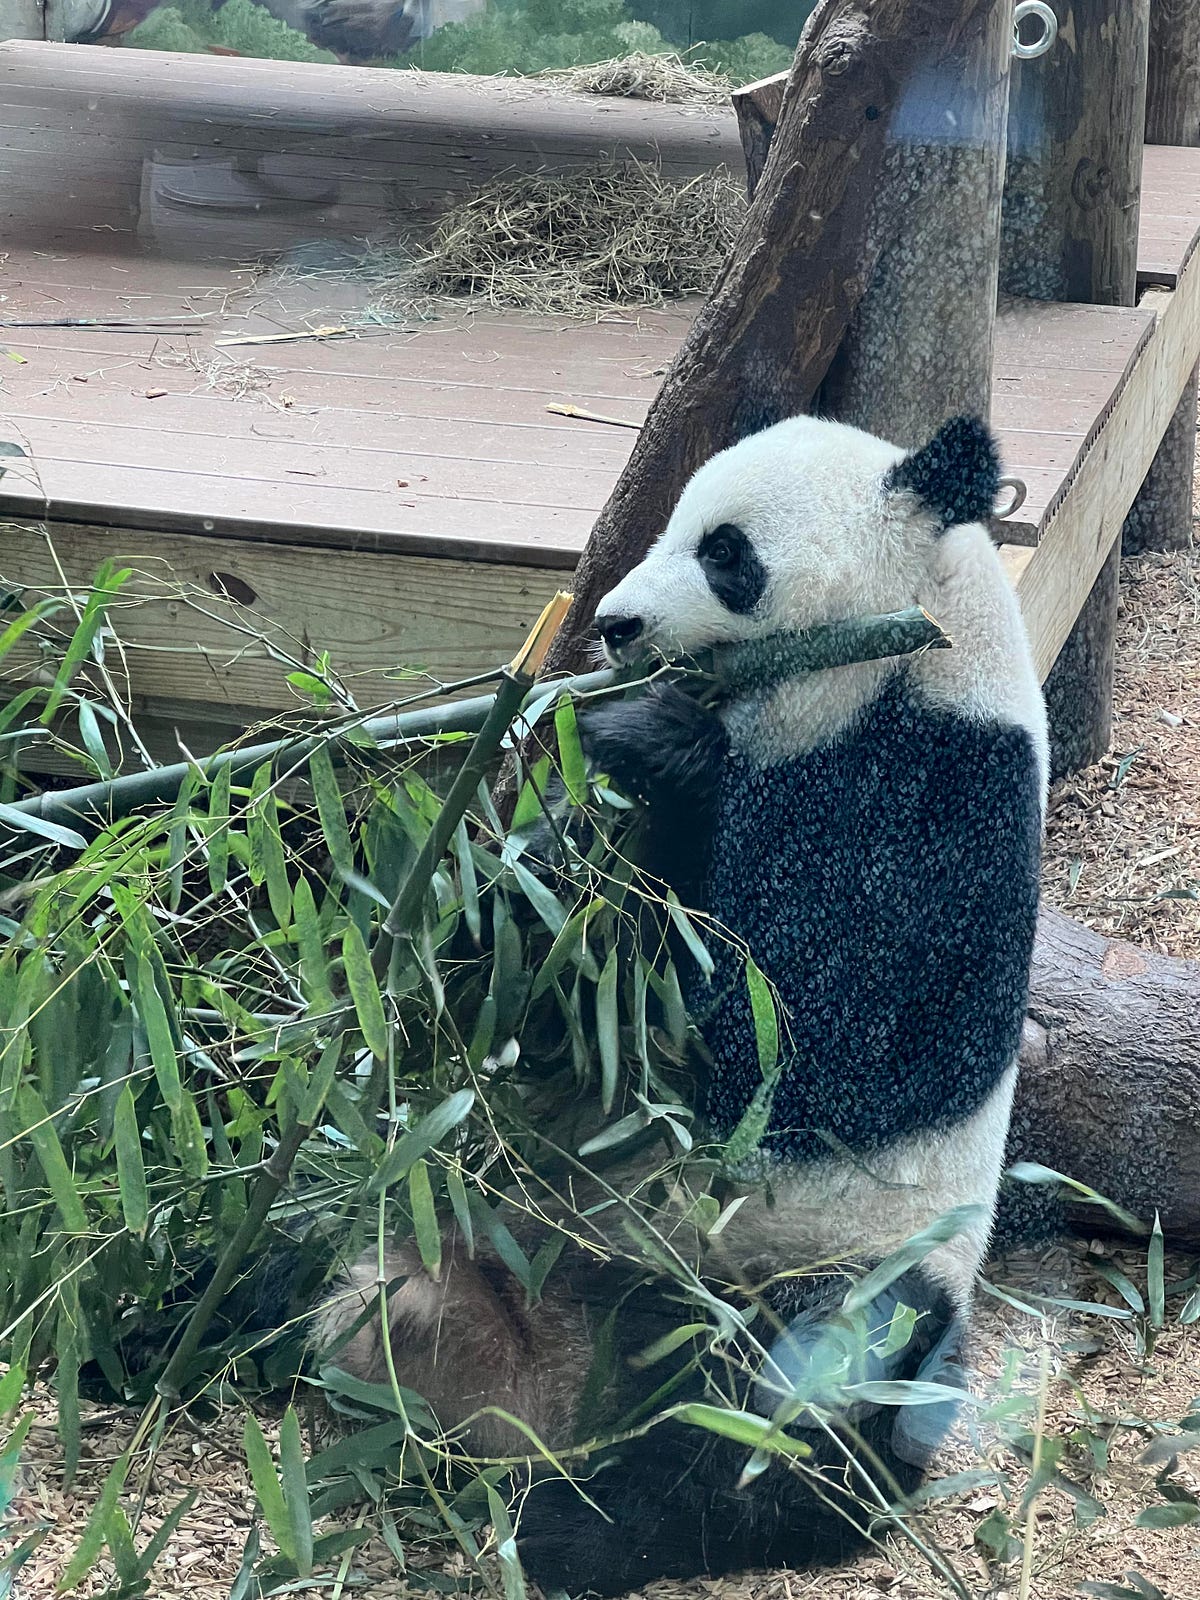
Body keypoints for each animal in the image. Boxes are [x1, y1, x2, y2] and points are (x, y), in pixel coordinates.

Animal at [315, 412, 1048, 1596]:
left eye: (725, 552)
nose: (614, 626)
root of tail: (537, 1390)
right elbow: (532, 973)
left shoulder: (939, 797)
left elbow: (803, 1042)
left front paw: (656, 743)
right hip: (444, 1194)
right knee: (330, 1232)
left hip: (839, 1265)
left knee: (810, 1404)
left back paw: (585, 1525)